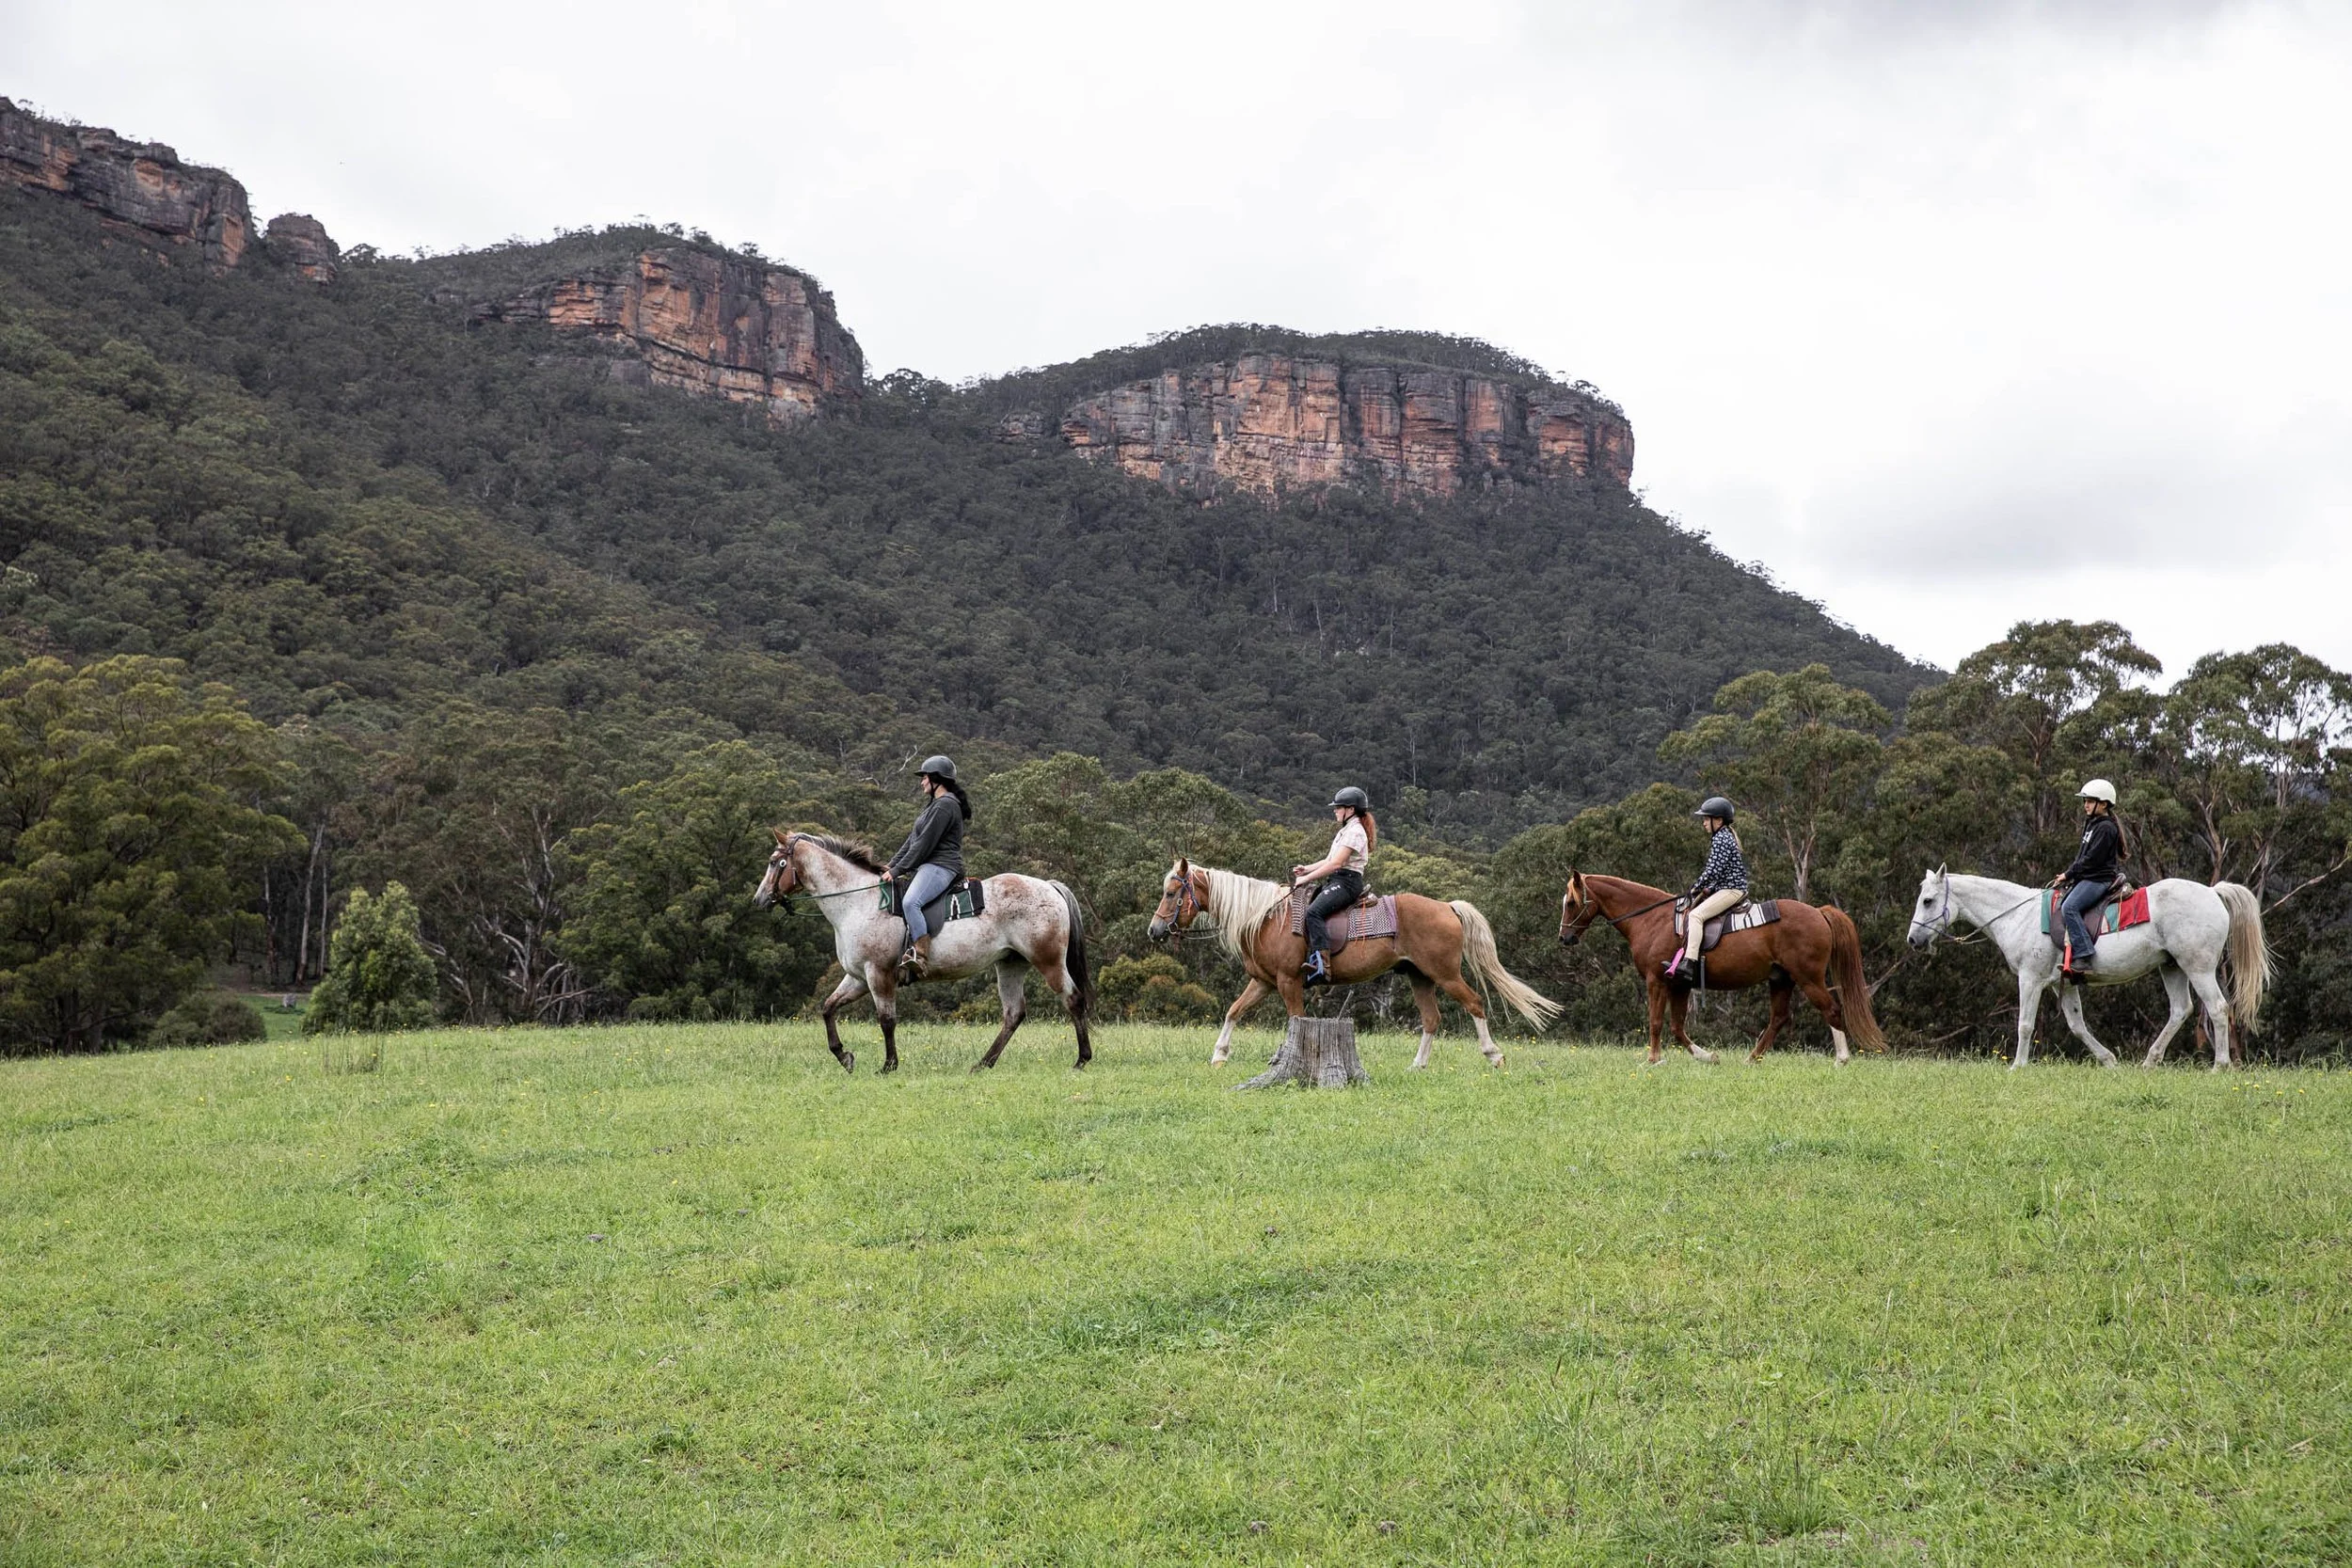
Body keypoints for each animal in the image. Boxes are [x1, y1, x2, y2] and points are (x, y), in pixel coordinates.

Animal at [753, 830, 1093, 1074]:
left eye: (775, 862)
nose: (759, 900)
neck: (858, 903)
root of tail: (1049, 886)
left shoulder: (878, 974)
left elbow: (886, 1020)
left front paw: (888, 1065)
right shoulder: (858, 977)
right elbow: (828, 1008)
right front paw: (844, 1056)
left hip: (1048, 961)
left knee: (1073, 999)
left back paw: (1081, 1059)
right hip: (1010, 965)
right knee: (1014, 1014)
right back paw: (983, 1064)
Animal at [1147, 857, 1560, 1068]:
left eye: (1170, 893)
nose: (1154, 930)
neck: (1265, 917)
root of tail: (1447, 907)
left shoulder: (1287, 982)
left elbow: (1295, 1020)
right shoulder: (1263, 981)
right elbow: (1233, 1011)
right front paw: (1219, 1055)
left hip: (1445, 974)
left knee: (1474, 1004)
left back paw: (1494, 1056)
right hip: (1420, 977)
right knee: (1431, 1019)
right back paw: (1417, 1065)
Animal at [1557, 873, 1886, 1065]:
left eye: (1571, 902)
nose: (1564, 938)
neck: (1652, 919)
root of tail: (1818, 912)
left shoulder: (1657, 980)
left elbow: (1657, 1023)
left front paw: (1653, 1060)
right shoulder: (1680, 985)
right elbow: (1677, 1027)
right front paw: (1708, 1056)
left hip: (1809, 978)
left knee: (1831, 1010)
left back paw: (1841, 1060)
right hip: (1781, 979)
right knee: (1779, 1018)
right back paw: (1752, 1059)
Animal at [1904, 868, 2269, 1070]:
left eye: (1927, 901)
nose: (1912, 940)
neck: (2017, 915)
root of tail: (2212, 892)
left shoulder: (2031, 979)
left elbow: (2025, 1025)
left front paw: (2018, 1067)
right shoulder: (2063, 984)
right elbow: (2077, 1025)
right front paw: (2108, 1061)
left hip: (2198, 967)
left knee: (2218, 1009)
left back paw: (2220, 1066)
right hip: (2172, 967)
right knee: (2181, 1010)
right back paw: (2150, 1061)